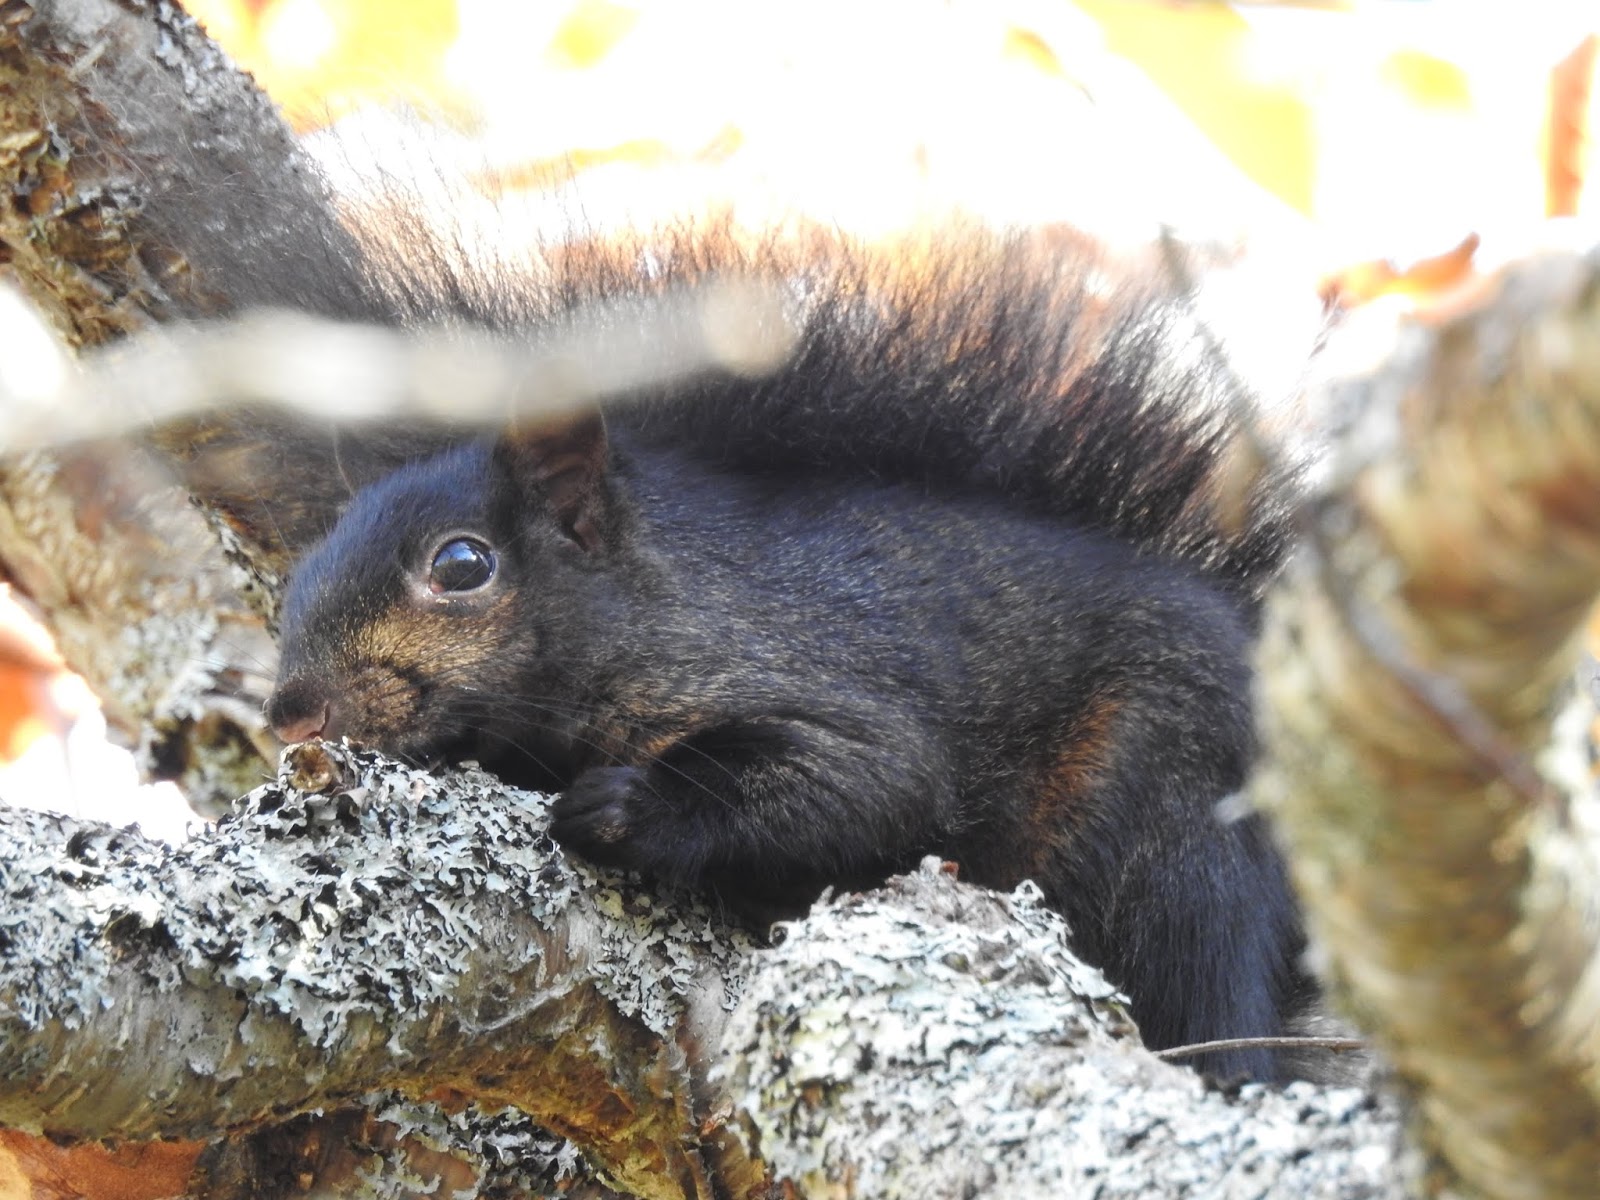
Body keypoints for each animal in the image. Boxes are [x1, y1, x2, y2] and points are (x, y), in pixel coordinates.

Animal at [251, 224, 1317, 1083]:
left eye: (463, 564)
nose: (293, 712)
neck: (653, 600)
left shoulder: (804, 670)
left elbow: (867, 783)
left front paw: (625, 805)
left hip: (1162, 814)